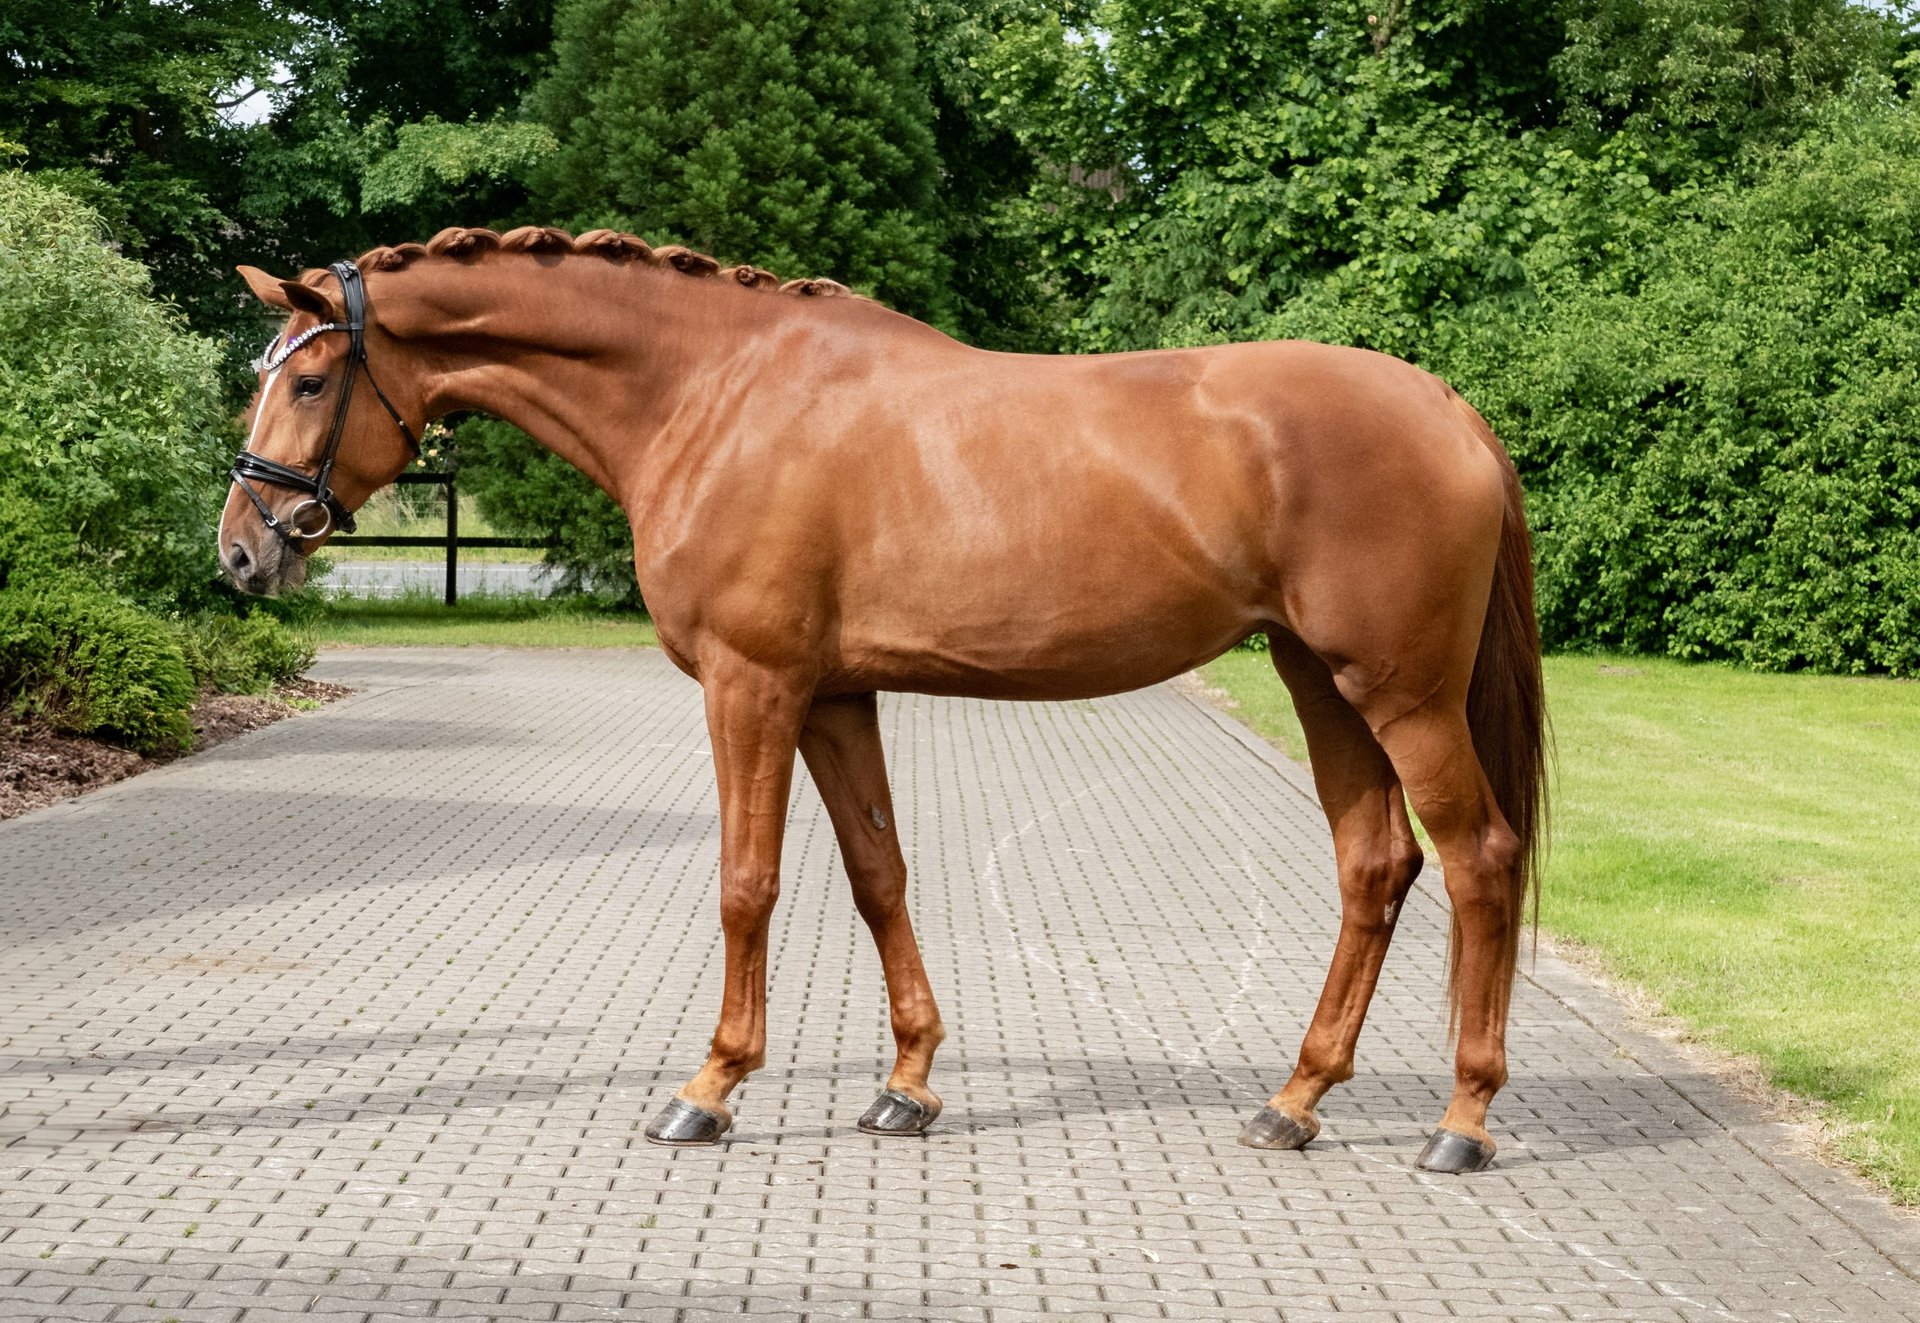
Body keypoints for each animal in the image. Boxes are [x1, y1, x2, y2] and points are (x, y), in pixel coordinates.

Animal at [221, 225, 1547, 1173]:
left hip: (1399, 692)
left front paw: (710, 1089)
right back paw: (1294, 1101)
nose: (242, 550)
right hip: (1321, 682)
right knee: (1376, 865)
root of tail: (1450, 410)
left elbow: (746, 883)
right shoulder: (835, 696)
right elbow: (877, 875)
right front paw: (906, 1086)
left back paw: (1463, 1120)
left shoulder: (753, 687)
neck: (713, 395)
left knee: (1478, 856)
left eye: (316, 379)